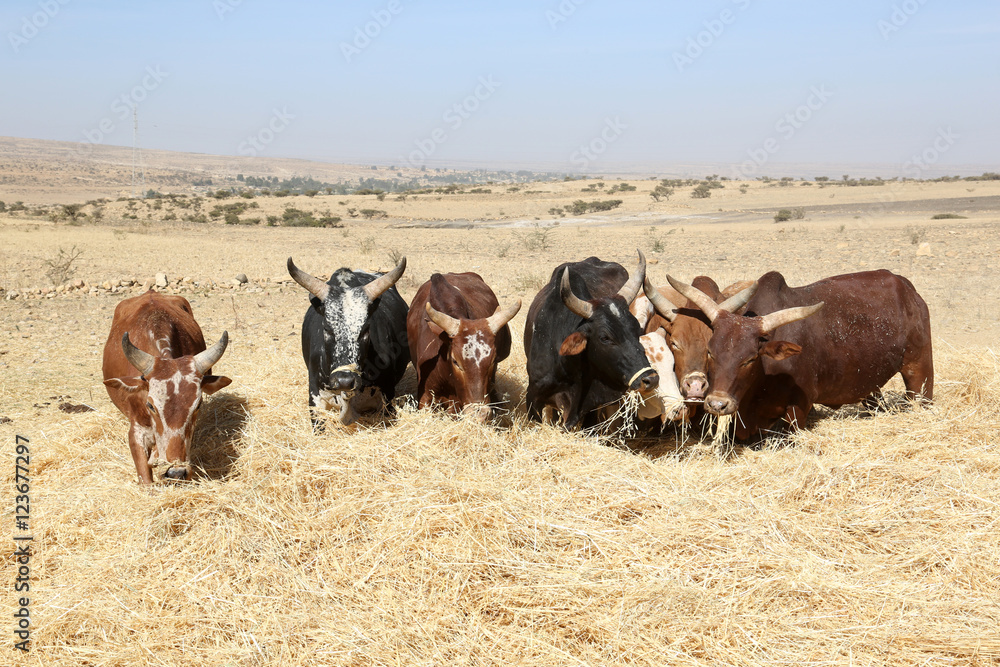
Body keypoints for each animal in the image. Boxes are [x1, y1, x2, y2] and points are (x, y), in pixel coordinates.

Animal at [667, 269, 934, 440]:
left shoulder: (799, 406)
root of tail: (907, 287)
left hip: (919, 370)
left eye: (750, 359)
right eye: (710, 352)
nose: (717, 404)